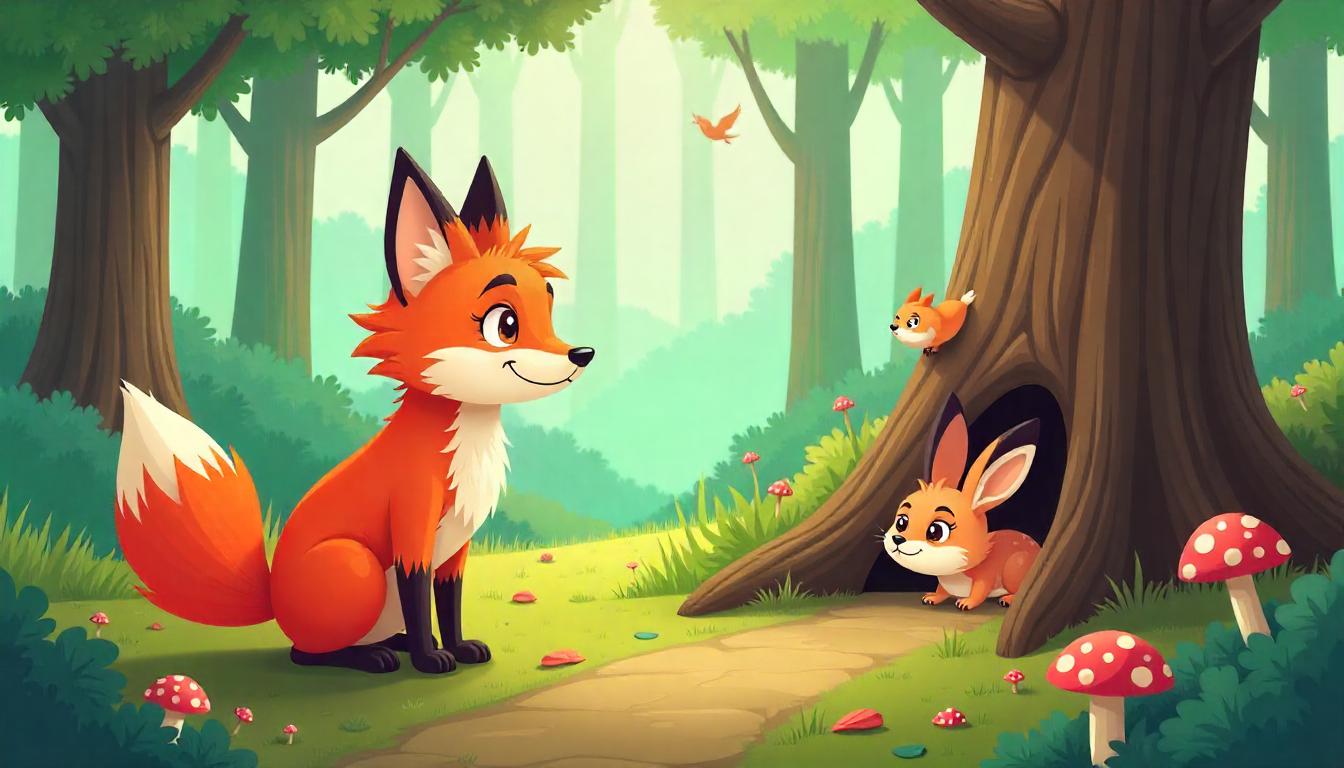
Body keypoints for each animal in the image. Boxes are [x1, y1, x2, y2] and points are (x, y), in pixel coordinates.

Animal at [114, 150, 592, 674]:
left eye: (549, 309)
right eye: (505, 324)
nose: (582, 354)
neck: (466, 443)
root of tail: (273, 601)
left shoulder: (457, 546)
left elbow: (449, 601)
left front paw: (460, 646)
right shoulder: (412, 526)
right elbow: (418, 593)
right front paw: (430, 660)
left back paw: (394, 644)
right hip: (357, 566)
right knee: (307, 653)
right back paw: (375, 656)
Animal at [883, 393, 1041, 611]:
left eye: (936, 531)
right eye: (902, 522)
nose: (898, 539)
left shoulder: (985, 578)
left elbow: (979, 592)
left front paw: (966, 603)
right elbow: (941, 590)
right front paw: (931, 597)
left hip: (1014, 569)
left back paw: (1007, 599)